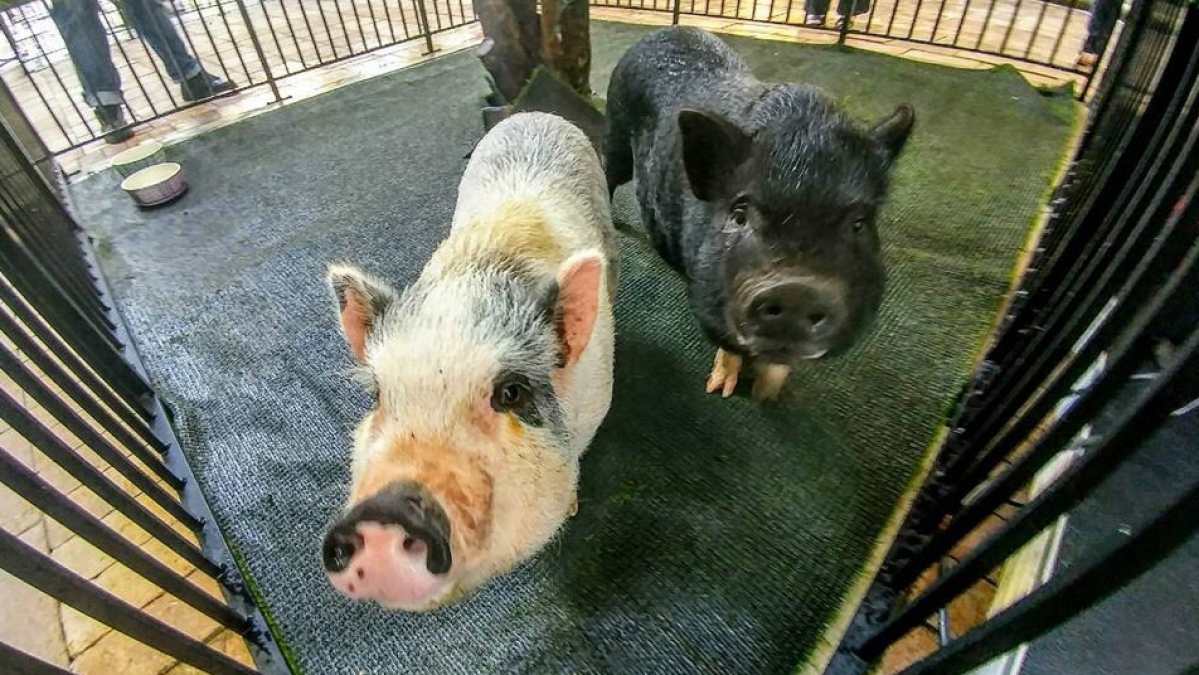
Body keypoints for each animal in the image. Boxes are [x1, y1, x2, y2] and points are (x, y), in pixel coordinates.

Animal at [605, 26, 914, 401]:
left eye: (859, 223)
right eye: (740, 214)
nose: (796, 289)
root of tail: (664, 30)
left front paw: (766, 395)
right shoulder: (708, 293)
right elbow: (730, 346)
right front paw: (721, 390)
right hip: (616, 132)